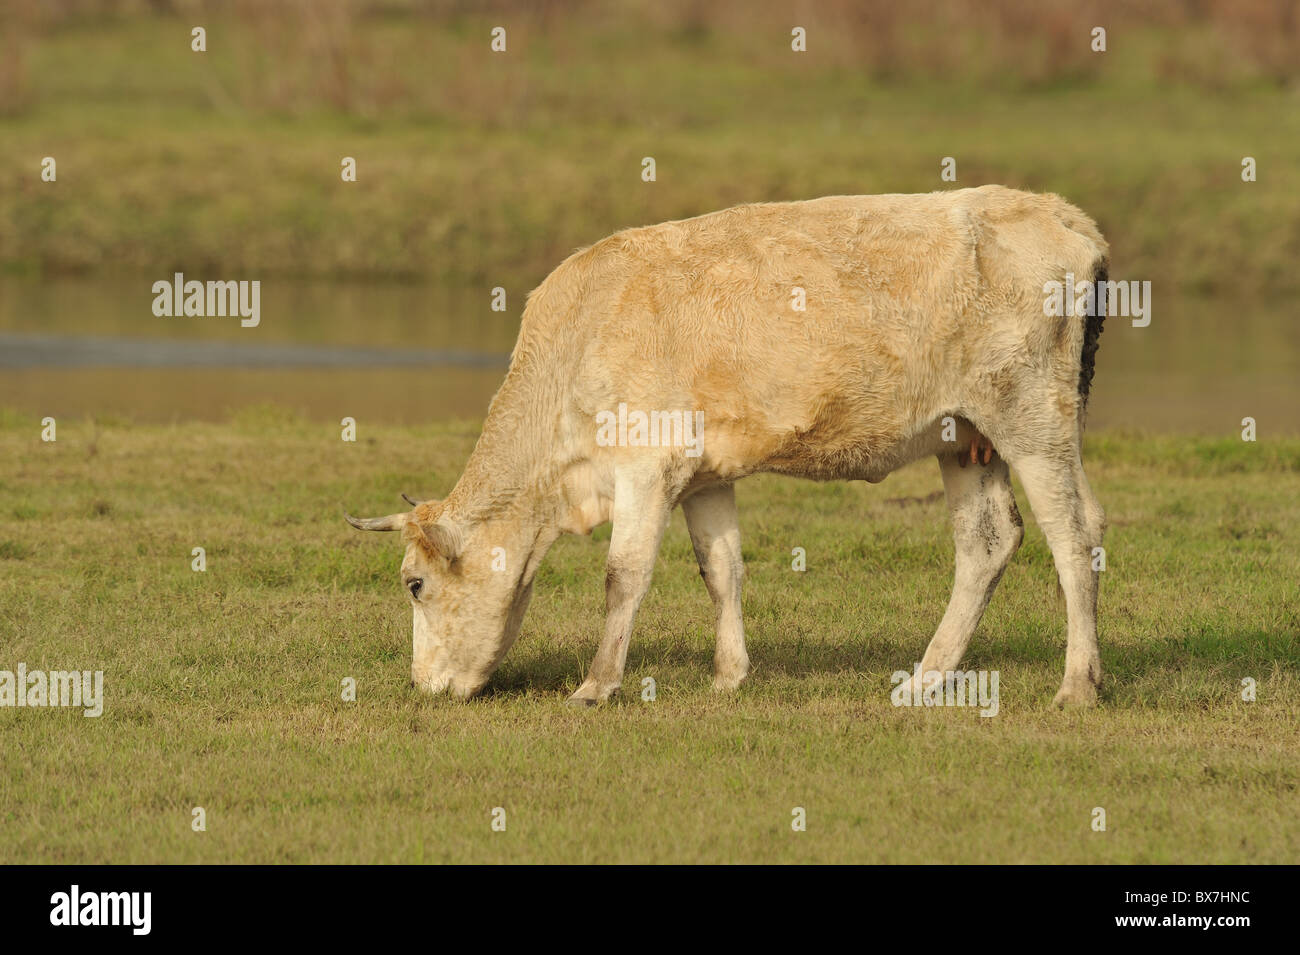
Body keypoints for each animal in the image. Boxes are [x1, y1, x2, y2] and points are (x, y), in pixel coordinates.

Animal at [347, 185, 1109, 708]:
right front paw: (729, 675)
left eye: (414, 583)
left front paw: (597, 684)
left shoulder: (646, 465)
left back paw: (1078, 683)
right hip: (965, 436)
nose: (421, 685)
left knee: (1075, 532)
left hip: (1032, 417)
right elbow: (722, 568)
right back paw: (924, 678)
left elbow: (624, 573)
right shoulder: (704, 474)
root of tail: (1057, 211)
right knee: (987, 542)